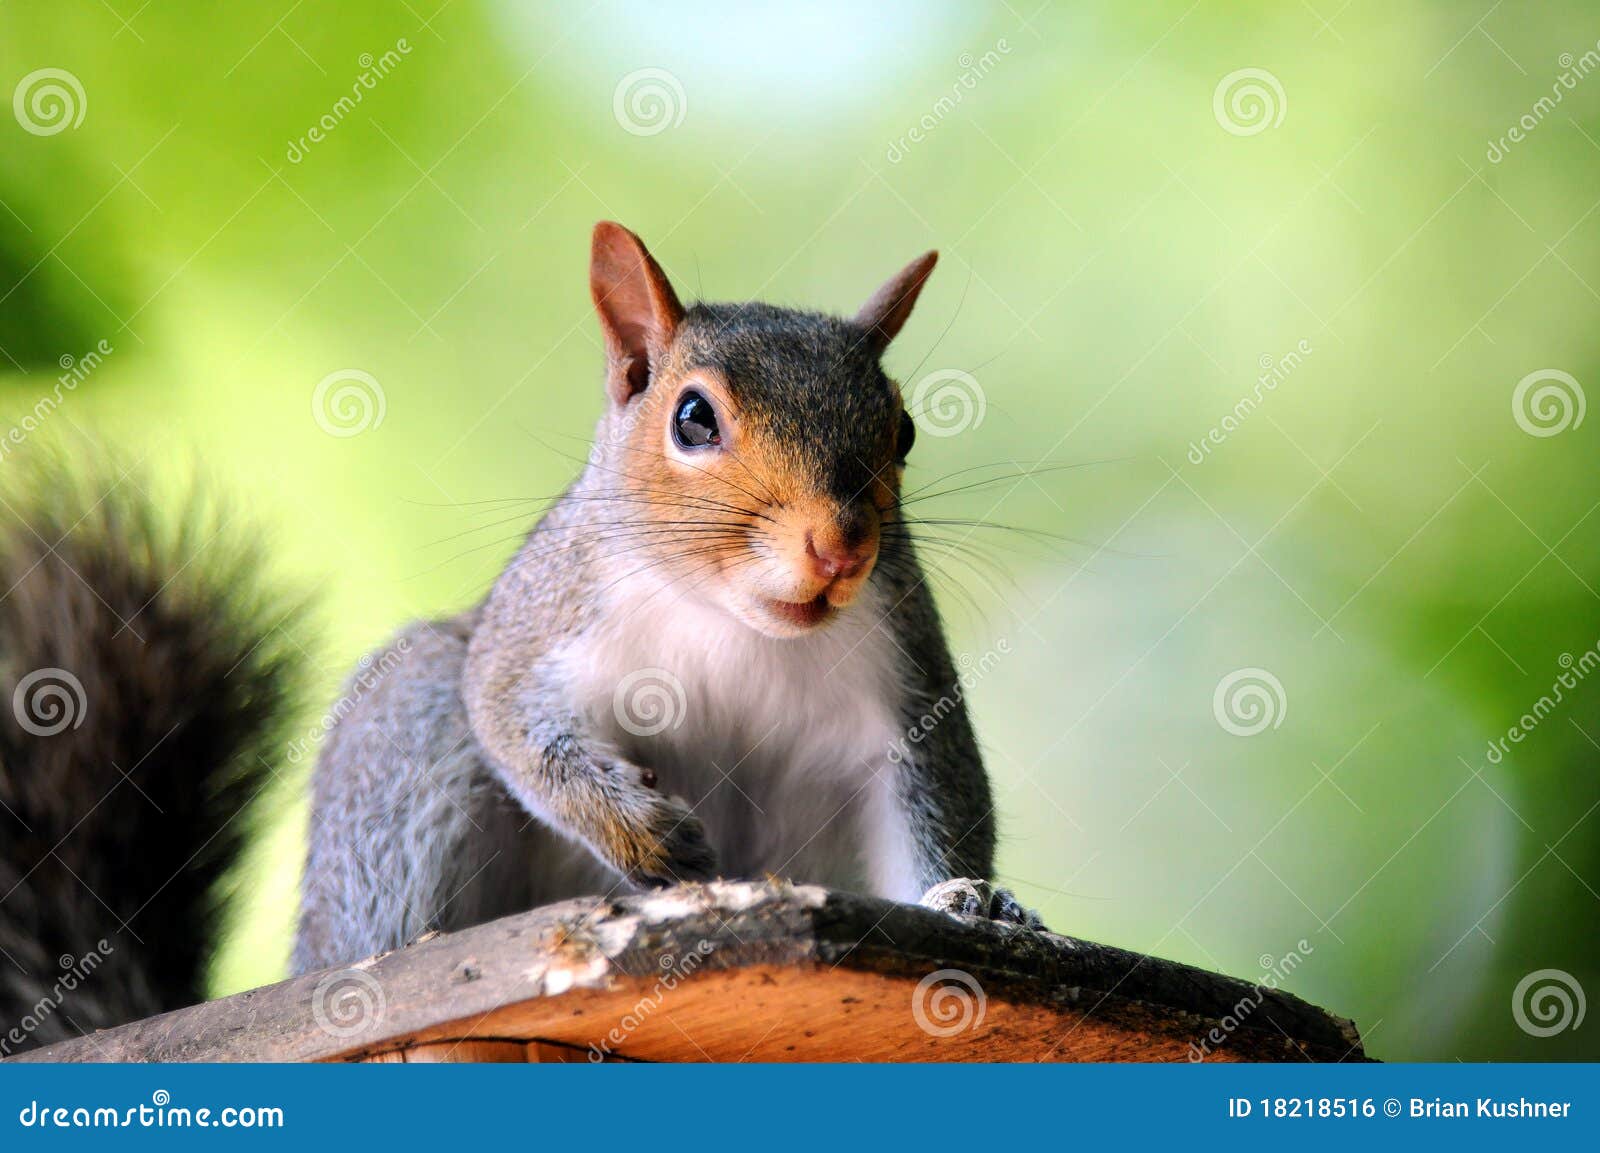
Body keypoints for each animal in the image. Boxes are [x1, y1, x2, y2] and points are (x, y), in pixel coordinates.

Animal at [290, 222, 1041, 973]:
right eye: (693, 419)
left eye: (904, 431)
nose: (841, 549)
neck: (729, 618)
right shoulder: (540, 621)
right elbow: (515, 724)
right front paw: (642, 832)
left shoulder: (906, 677)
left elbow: (937, 803)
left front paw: (964, 900)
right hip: (404, 736)